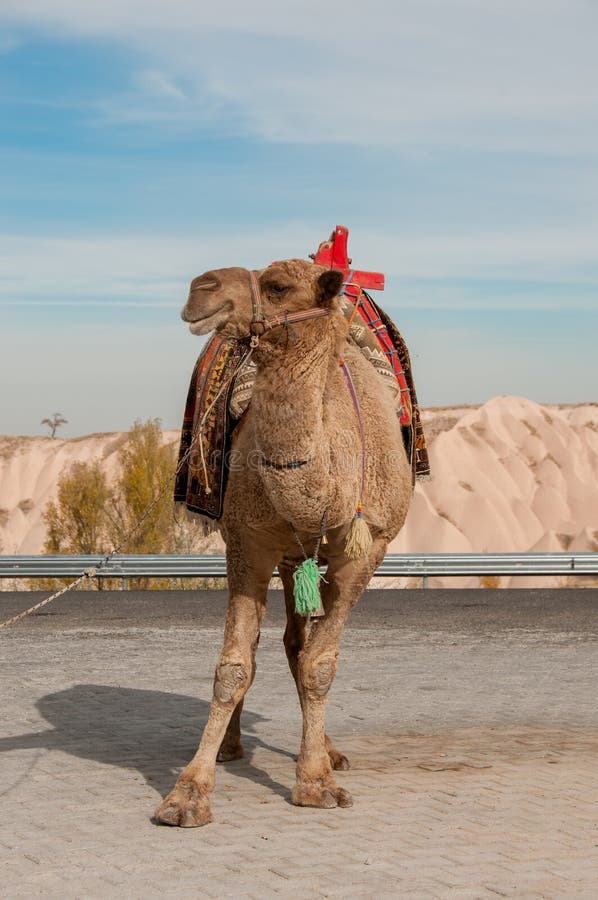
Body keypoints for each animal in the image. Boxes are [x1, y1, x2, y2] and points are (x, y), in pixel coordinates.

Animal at [155, 259, 413, 826]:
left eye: (277, 287)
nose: (200, 288)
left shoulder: (365, 551)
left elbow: (321, 664)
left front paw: (315, 782)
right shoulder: (248, 541)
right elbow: (232, 665)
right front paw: (188, 794)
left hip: (306, 558)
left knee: (302, 645)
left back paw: (327, 751)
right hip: (283, 554)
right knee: (266, 646)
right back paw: (232, 747)